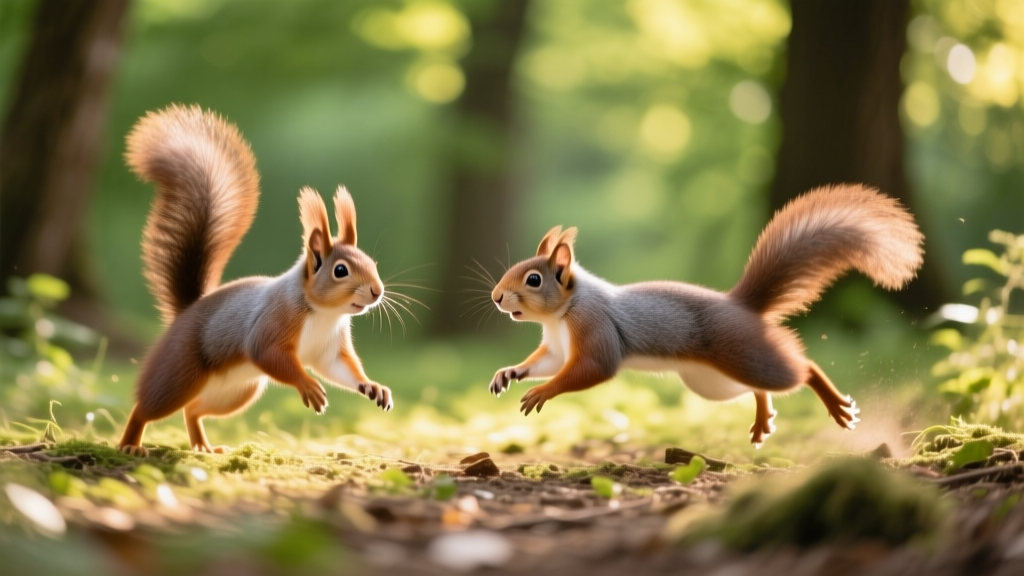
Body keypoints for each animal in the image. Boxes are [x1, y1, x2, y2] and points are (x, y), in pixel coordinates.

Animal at [117, 104, 392, 457]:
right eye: (340, 270)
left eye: (372, 262)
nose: (377, 291)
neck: (324, 314)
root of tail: (185, 314)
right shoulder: (274, 323)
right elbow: (268, 353)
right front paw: (307, 386)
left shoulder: (330, 348)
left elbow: (340, 368)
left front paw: (373, 386)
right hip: (179, 373)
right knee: (149, 406)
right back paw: (130, 444)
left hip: (236, 392)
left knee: (193, 410)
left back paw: (204, 446)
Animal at [487, 184, 924, 446]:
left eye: (533, 279)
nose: (496, 297)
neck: (562, 315)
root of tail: (743, 305)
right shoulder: (556, 348)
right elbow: (545, 363)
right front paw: (509, 373)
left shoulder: (595, 328)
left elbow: (593, 367)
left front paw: (543, 391)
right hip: (712, 381)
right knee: (757, 387)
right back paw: (763, 420)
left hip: (745, 354)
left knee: (803, 369)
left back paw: (835, 405)